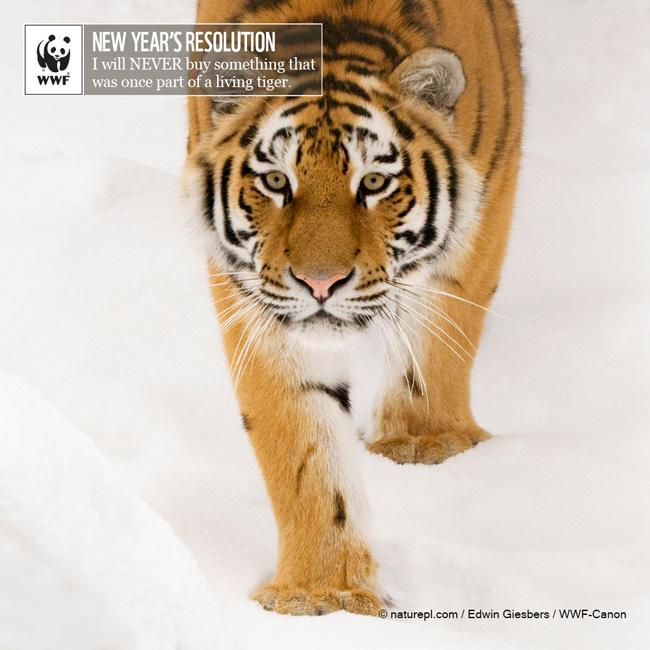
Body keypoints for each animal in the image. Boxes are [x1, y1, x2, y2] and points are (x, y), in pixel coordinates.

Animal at [185, 0, 523, 617]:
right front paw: (322, 594)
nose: (320, 283)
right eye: (276, 180)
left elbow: (442, 331)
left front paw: (423, 441)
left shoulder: (488, 193)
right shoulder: (256, 300)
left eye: (374, 182)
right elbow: (303, 443)